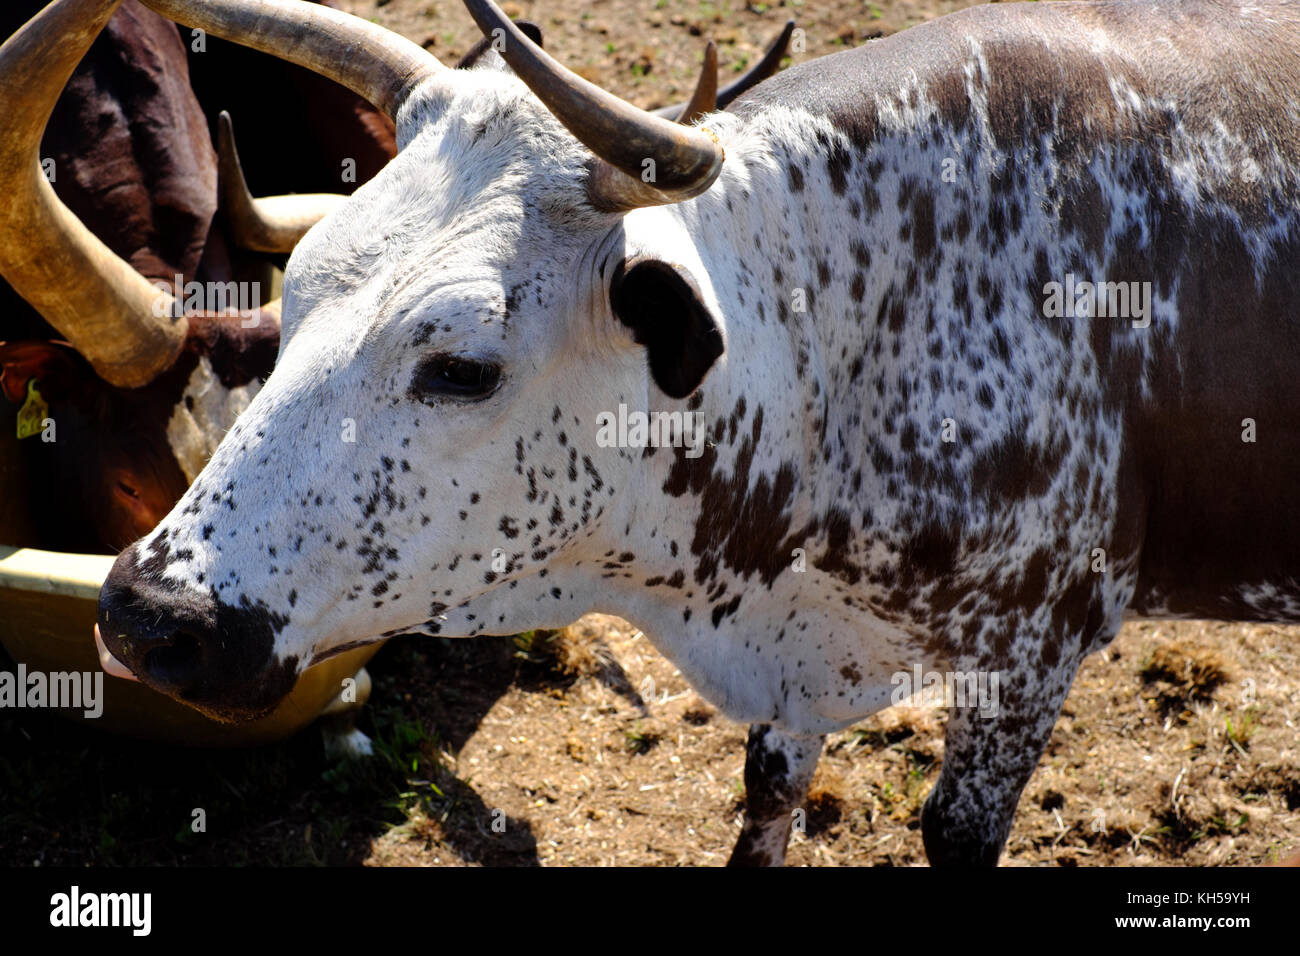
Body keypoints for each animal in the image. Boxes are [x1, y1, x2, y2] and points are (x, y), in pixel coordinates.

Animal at [81, 0, 1300, 867]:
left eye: (460, 367)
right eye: (292, 300)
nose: (150, 615)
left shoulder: (1030, 656)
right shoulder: (794, 684)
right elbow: (766, 801)